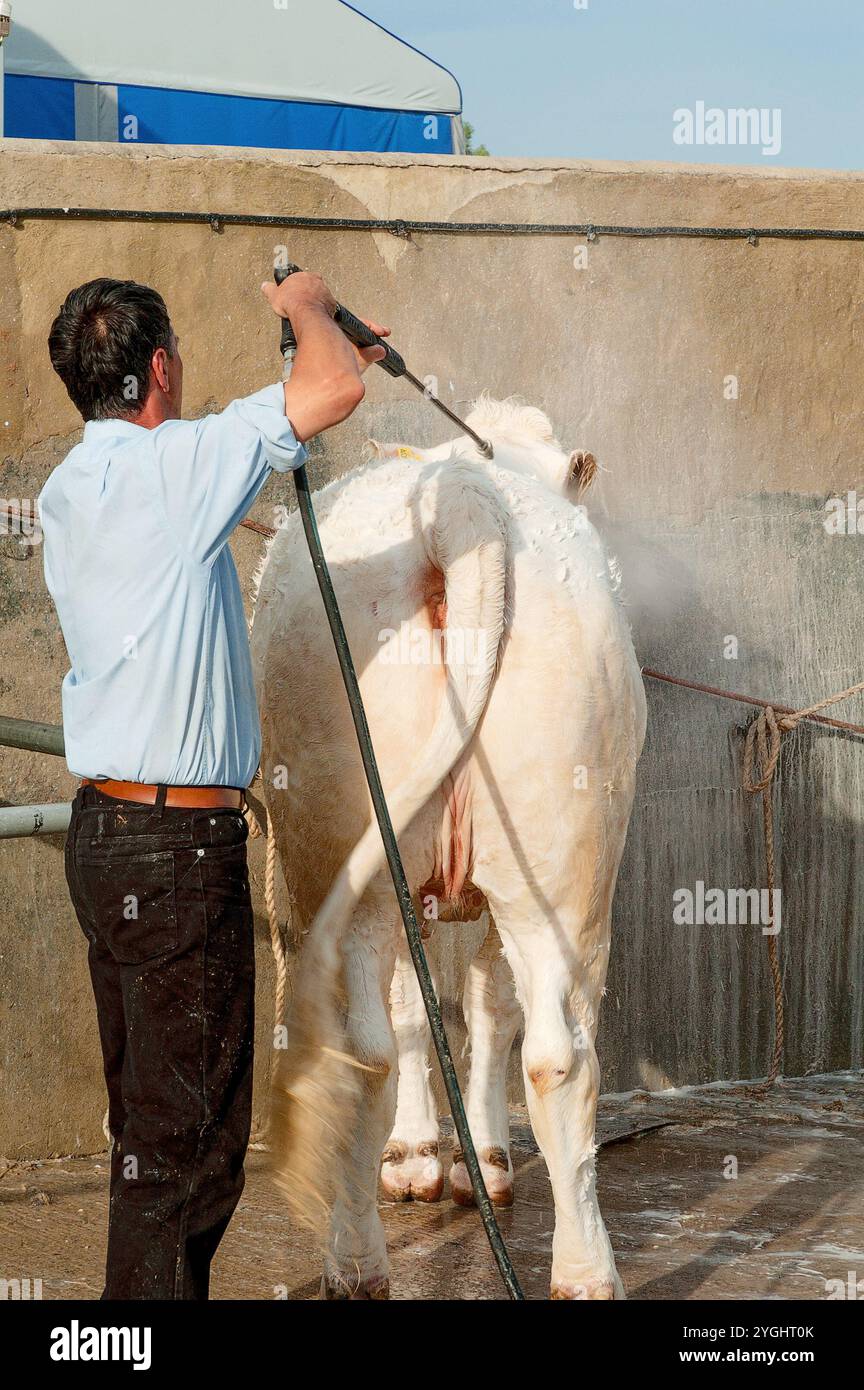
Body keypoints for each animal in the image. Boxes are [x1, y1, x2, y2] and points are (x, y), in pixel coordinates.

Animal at [249, 397, 646, 1300]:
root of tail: (463, 500)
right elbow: (475, 1005)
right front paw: (472, 1161)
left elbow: (425, 1005)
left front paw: (427, 1156)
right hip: (559, 861)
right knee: (558, 1054)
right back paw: (583, 1271)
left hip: (355, 845)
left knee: (376, 1046)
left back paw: (355, 1256)